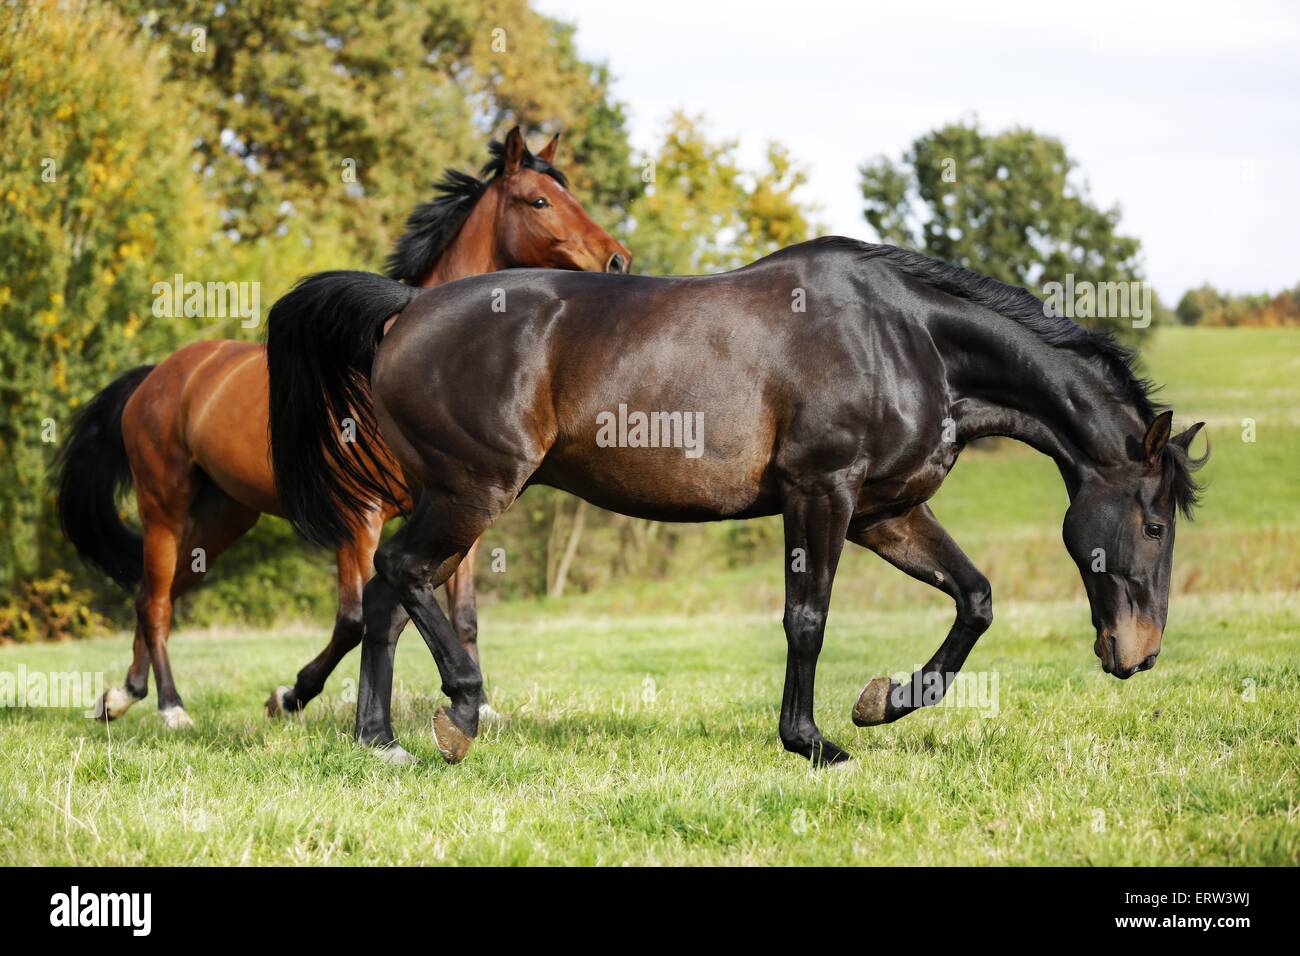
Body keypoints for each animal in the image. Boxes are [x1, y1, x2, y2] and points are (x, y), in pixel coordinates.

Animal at [55, 127, 631, 733]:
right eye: (539, 201)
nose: (617, 259)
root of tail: (158, 376)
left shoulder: (460, 515)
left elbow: (464, 613)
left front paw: (482, 708)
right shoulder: (361, 520)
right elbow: (354, 619)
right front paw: (288, 695)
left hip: (222, 515)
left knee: (153, 595)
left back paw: (121, 697)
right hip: (164, 505)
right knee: (158, 600)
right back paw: (171, 707)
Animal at [265, 236, 1208, 766]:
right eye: (1155, 522)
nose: (1141, 654)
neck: (907, 338)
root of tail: (407, 309)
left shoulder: (884, 513)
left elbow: (974, 598)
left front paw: (883, 702)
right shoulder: (821, 493)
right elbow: (807, 620)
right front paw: (812, 742)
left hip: (451, 497)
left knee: (386, 598)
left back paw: (380, 741)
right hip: (472, 491)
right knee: (400, 572)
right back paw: (457, 712)